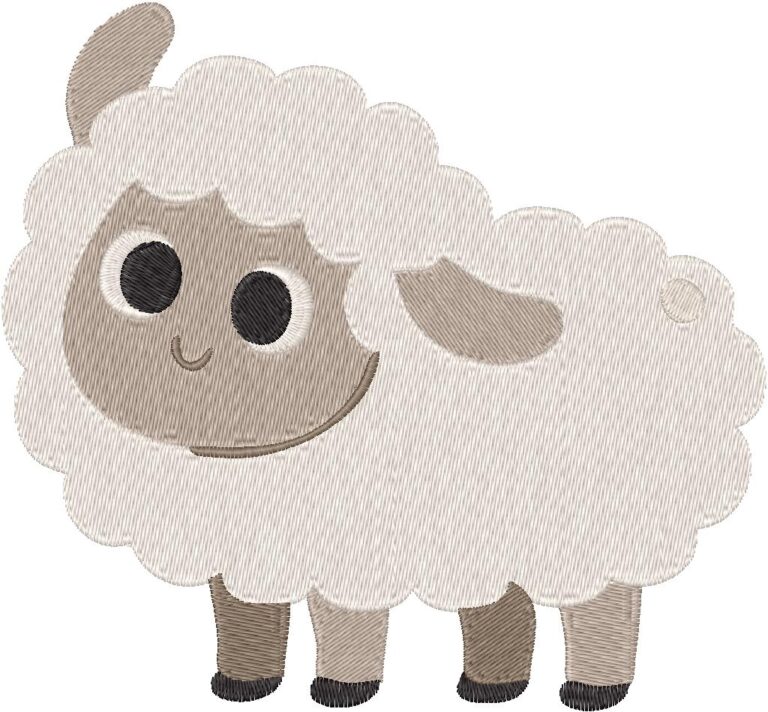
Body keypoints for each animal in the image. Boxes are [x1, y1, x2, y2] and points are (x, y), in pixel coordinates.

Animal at [2, 4, 764, 710]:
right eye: (145, 271)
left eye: (268, 304)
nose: (186, 351)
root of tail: (678, 292)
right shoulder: (250, 545)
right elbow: (244, 615)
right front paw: (243, 682)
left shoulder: (348, 550)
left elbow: (347, 626)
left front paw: (341, 687)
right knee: (502, 603)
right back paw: (490, 686)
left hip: (598, 529)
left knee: (603, 610)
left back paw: (590, 689)